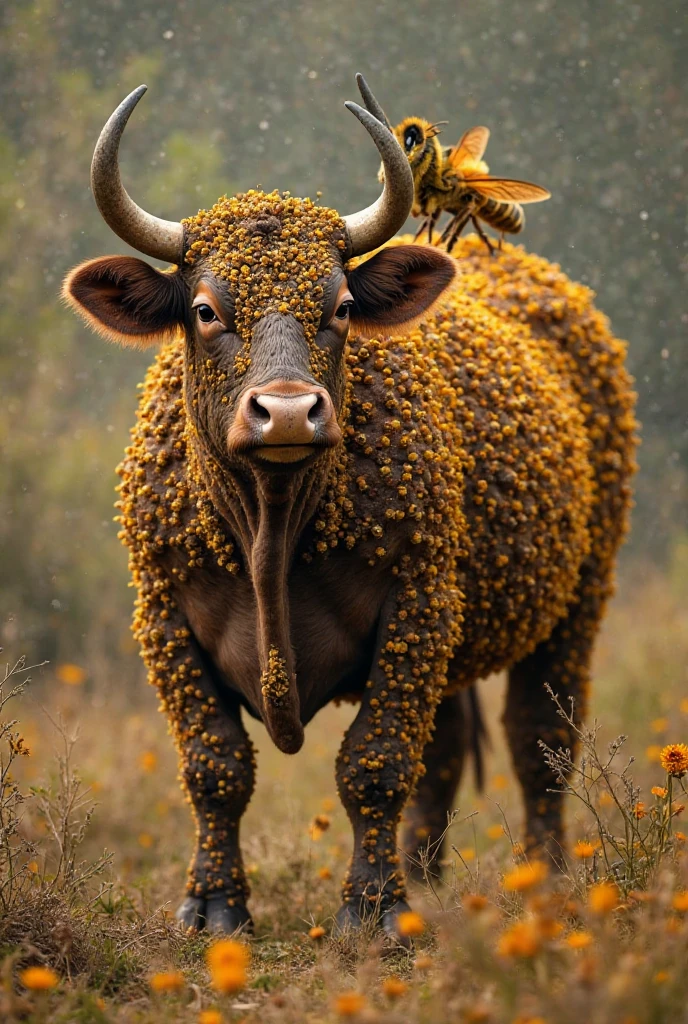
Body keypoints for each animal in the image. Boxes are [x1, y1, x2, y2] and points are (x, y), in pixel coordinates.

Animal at [63, 77, 637, 940]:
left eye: (336, 306)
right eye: (205, 309)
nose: (287, 413)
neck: (270, 524)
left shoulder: (416, 606)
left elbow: (375, 763)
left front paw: (372, 910)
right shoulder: (164, 619)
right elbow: (215, 767)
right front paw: (214, 905)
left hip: (579, 599)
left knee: (539, 738)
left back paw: (542, 873)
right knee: (449, 748)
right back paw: (428, 874)